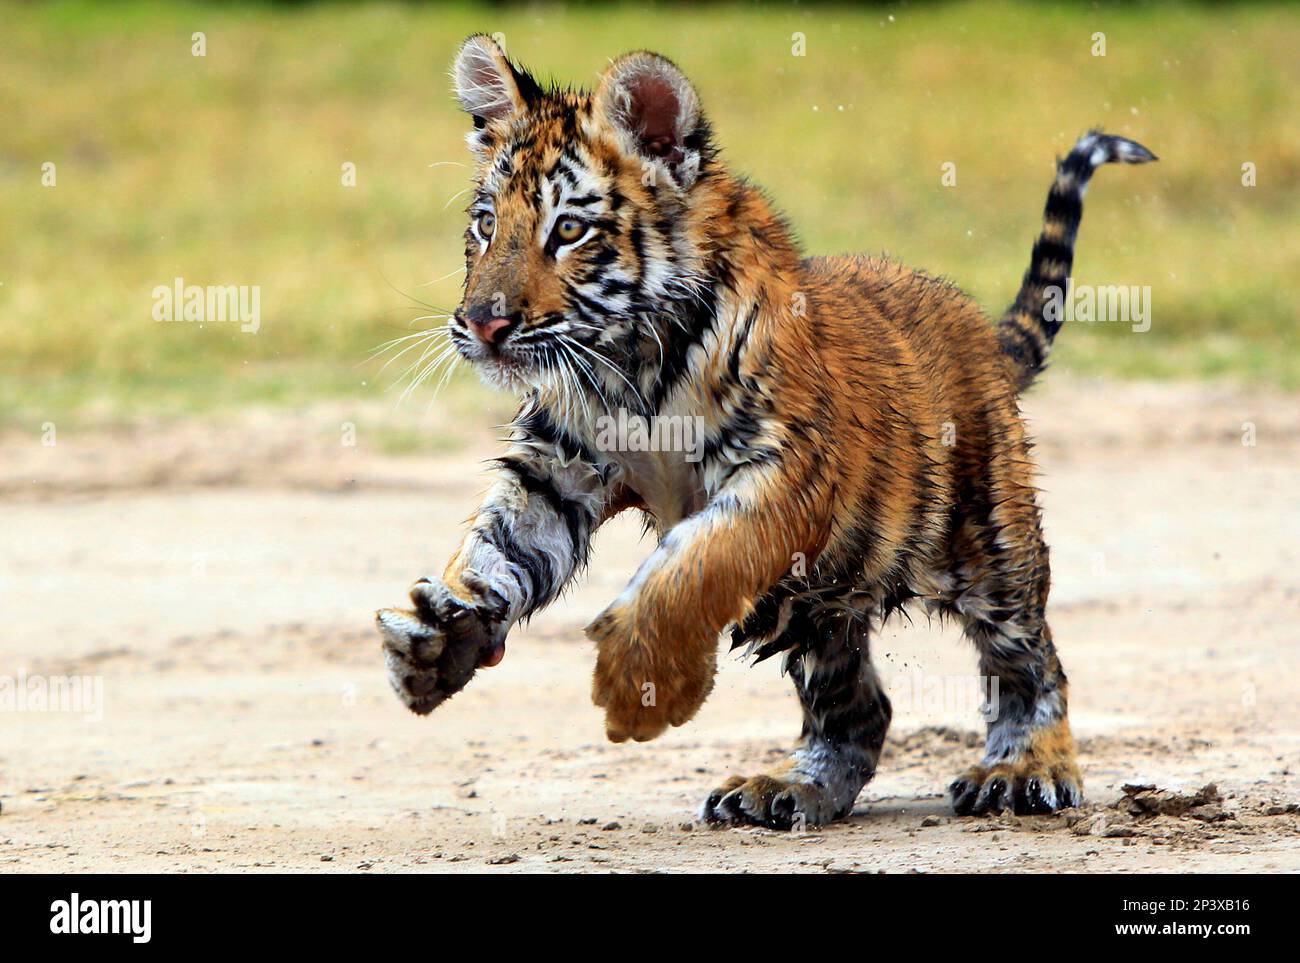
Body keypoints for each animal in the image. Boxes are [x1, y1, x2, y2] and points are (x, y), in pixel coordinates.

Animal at [375, 34, 1156, 828]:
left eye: (568, 229)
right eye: (484, 225)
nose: (482, 324)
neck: (629, 363)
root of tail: (984, 334)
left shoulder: (784, 470)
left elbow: (696, 561)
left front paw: (639, 690)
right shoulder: (557, 467)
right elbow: (498, 546)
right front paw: (442, 640)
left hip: (990, 545)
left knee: (1029, 660)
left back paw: (1023, 771)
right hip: (823, 612)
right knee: (860, 710)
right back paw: (788, 789)